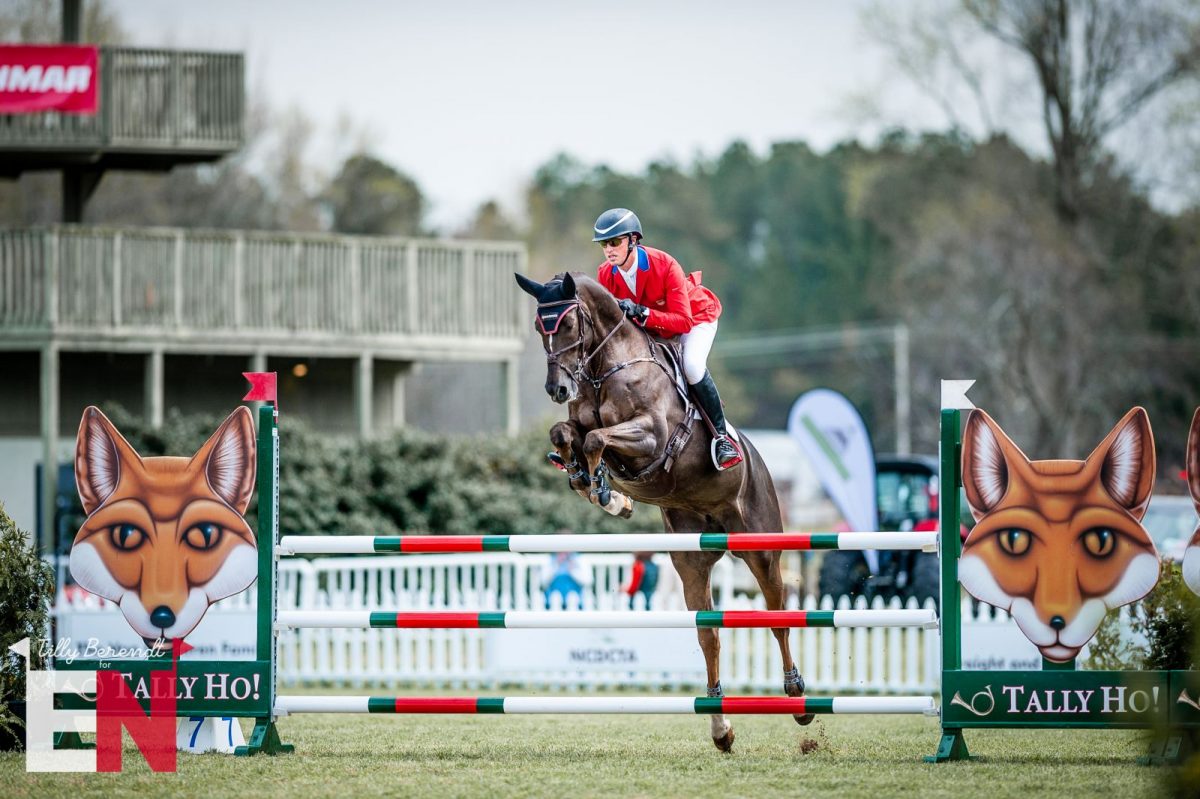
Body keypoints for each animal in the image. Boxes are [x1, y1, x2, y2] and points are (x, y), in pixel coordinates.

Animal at [515, 270, 814, 752]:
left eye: (567, 323)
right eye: (539, 327)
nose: (557, 389)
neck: (606, 369)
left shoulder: (651, 436)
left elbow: (597, 438)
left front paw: (605, 490)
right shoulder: (581, 423)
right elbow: (567, 432)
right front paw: (594, 485)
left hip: (761, 549)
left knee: (777, 619)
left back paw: (797, 698)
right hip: (691, 559)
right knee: (708, 633)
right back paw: (720, 728)